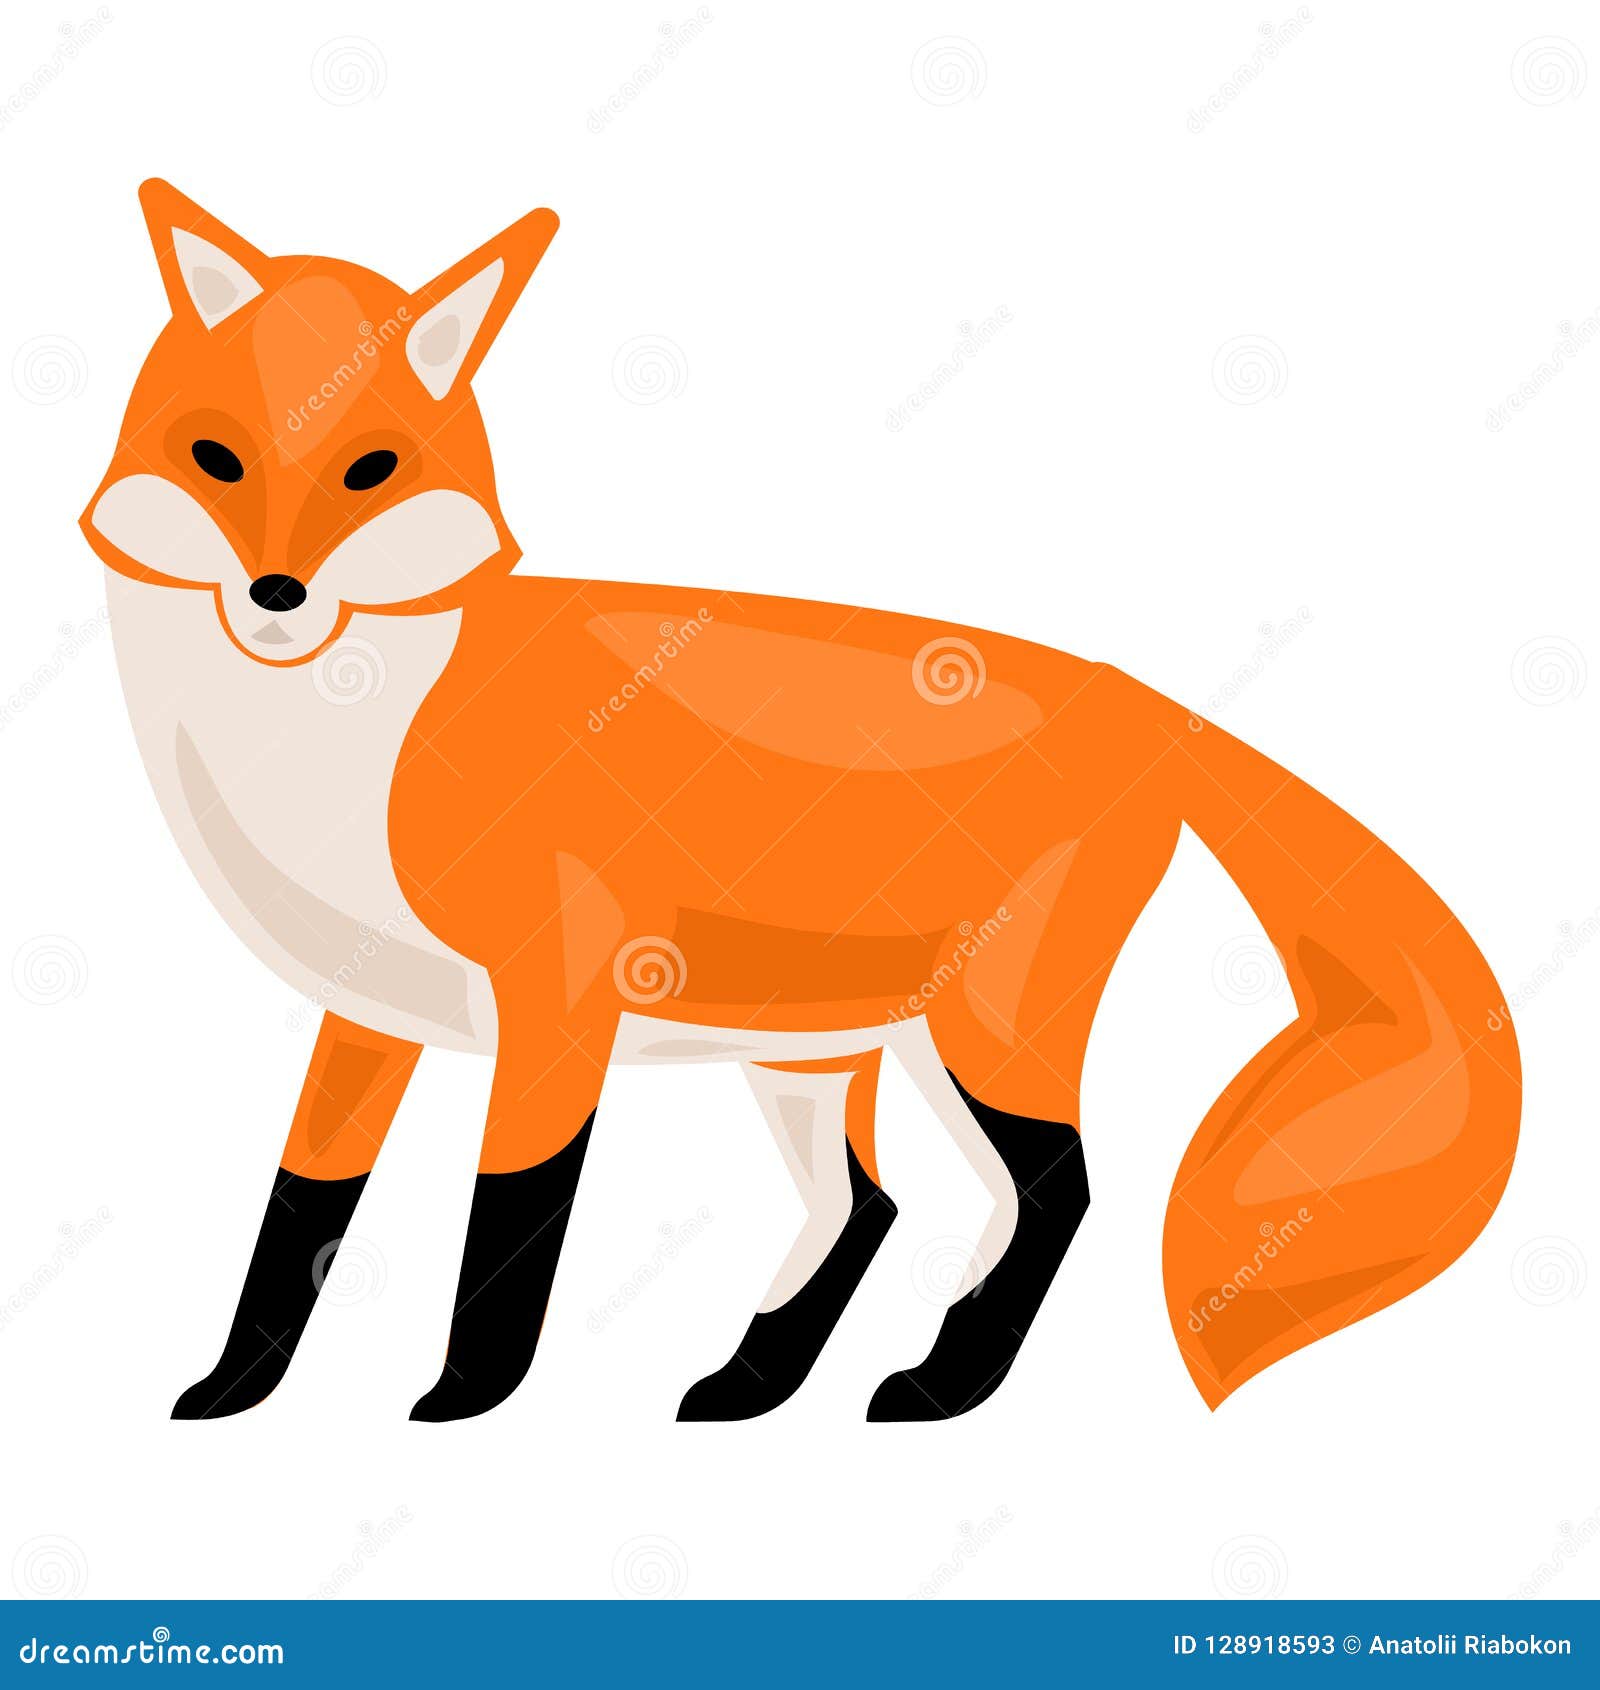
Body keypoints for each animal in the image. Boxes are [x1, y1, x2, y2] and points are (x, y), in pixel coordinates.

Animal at [81, 180, 1521, 1423]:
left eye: (372, 469)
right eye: (215, 459)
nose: (277, 593)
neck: (341, 737)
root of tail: (1137, 693)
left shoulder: (559, 997)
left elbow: (509, 1220)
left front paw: (464, 1399)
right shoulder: (370, 1016)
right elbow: (298, 1215)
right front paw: (232, 1390)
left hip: (980, 1031)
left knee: (1057, 1192)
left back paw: (944, 1384)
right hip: (815, 1047)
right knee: (866, 1209)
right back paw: (752, 1382)